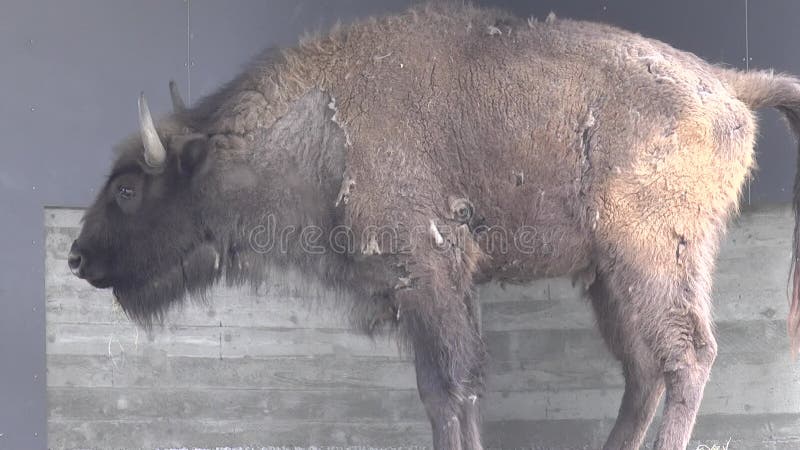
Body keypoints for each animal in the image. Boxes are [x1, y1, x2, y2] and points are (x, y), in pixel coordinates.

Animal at [68, 3, 800, 449]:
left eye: (128, 189)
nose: (75, 257)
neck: (319, 125)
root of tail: (728, 84)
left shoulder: (427, 279)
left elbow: (445, 389)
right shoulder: (441, 292)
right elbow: (459, 387)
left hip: (655, 259)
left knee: (687, 357)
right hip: (609, 278)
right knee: (643, 368)